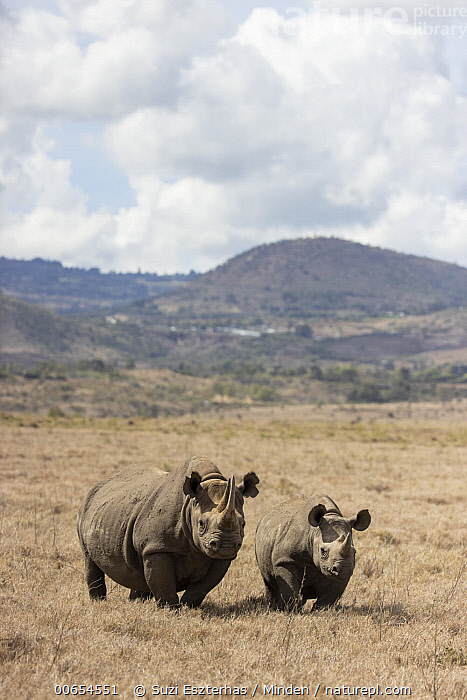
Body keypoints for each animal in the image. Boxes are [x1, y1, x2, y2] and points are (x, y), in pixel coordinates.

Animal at [77, 456, 259, 607]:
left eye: (243, 524)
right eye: (201, 524)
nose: (226, 547)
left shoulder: (221, 559)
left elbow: (201, 588)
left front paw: (188, 608)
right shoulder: (157, 547)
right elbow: (163, 584)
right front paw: (171, 610)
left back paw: (136, 603)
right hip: (86, 508)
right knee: (89, 559)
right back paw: (98, 603)